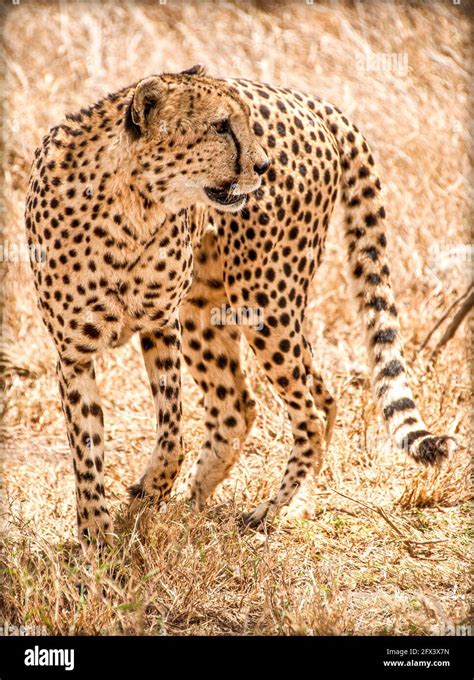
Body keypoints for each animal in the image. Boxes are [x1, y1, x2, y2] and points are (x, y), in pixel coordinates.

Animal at [26, 64, 455, 545]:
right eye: (219, 126)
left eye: (245, 122)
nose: (263, 165)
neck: (131, 206)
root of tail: (306, 100)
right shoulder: (74, 352)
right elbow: (86, 447)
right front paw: (97, 536)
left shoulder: (161, 324)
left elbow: (171, 435)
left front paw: (147, 495)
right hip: (210, 307)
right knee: (260, 402)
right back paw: (212, 503)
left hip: (262, 300)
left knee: (303, 410)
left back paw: (273, 510)